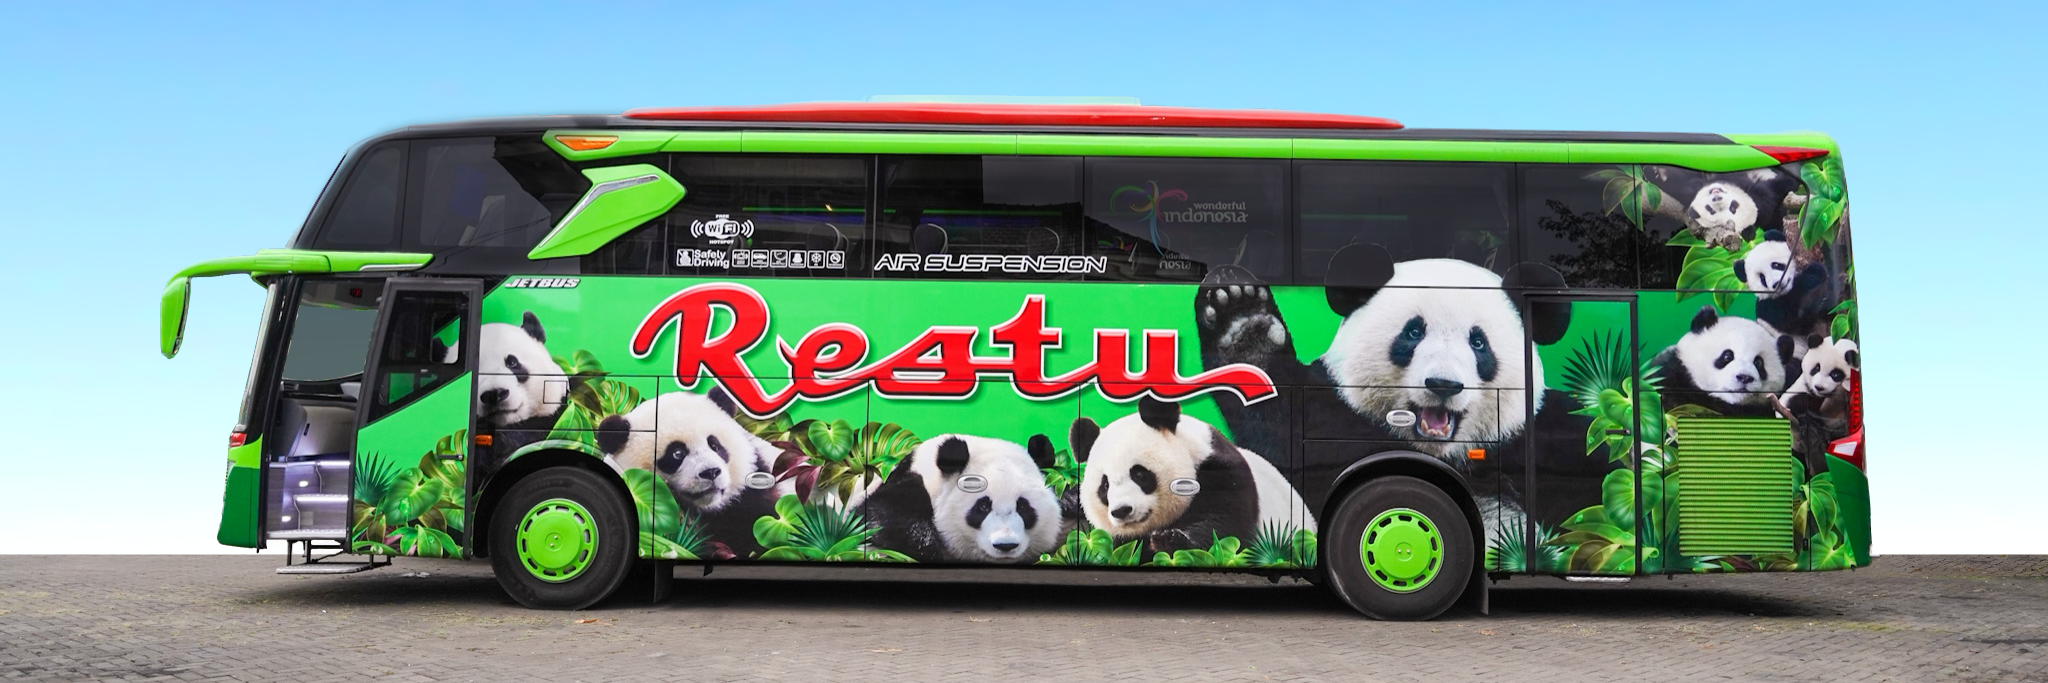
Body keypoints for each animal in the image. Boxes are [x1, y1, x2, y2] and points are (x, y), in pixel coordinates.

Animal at [1070, 397, 1312, 554]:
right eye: (1105, 486)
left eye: (1139, 474)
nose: (1122, 510)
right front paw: (1071, 501)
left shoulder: (1222, 472)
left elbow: (1224, 527)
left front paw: (1170, 541)